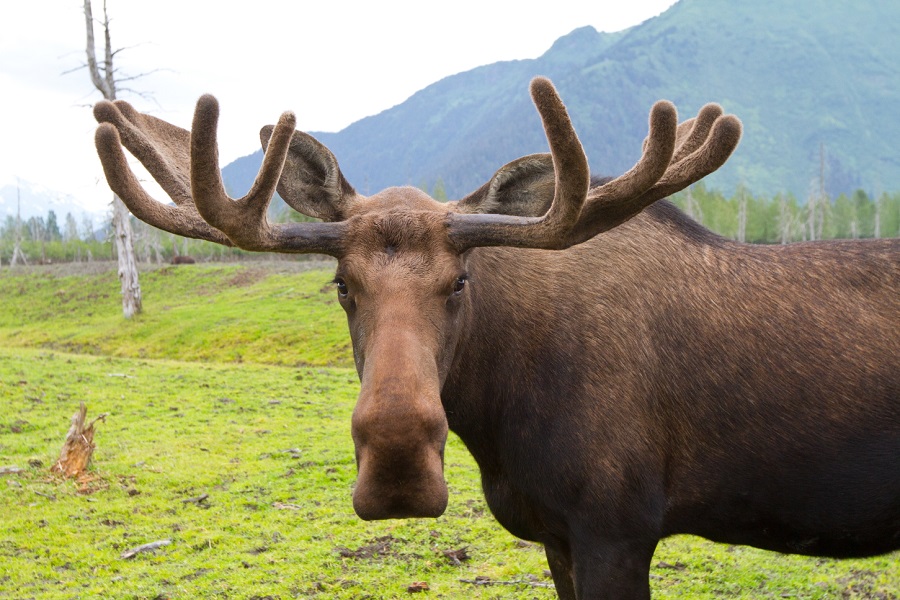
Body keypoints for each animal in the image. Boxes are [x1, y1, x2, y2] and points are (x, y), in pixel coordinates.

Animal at [92, 78, 899, 599]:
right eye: (342, 284)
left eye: (459, 282)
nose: (398, 466)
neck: (500, 416)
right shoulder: (558, 535)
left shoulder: (617, 527)